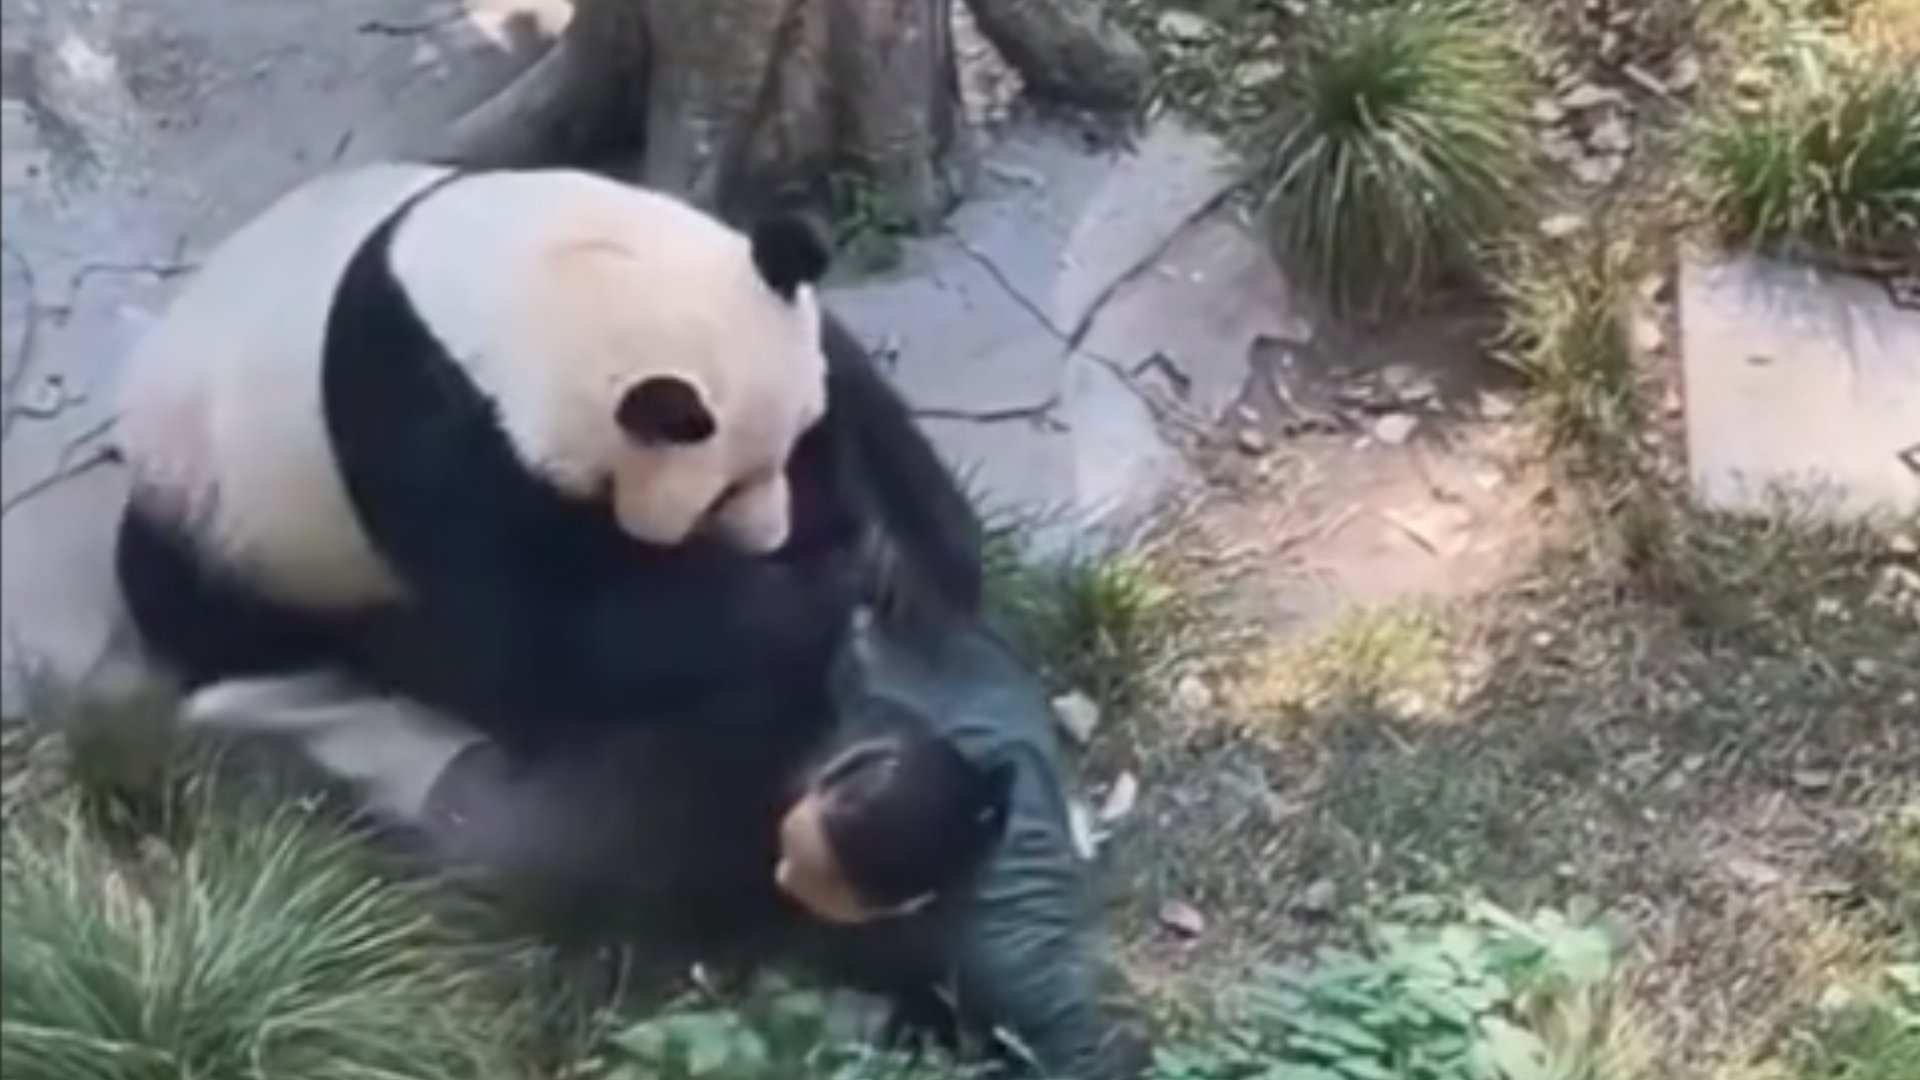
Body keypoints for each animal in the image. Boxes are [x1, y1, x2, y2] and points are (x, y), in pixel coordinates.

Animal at [113, 163, 982, 758]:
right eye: (722, 496)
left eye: (803, 439)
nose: (777, 536)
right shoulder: (418, 417)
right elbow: (545, 641)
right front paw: (811, 594)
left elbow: (869, 408)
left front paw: (896, 563)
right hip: (214, 502)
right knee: (187, 602)